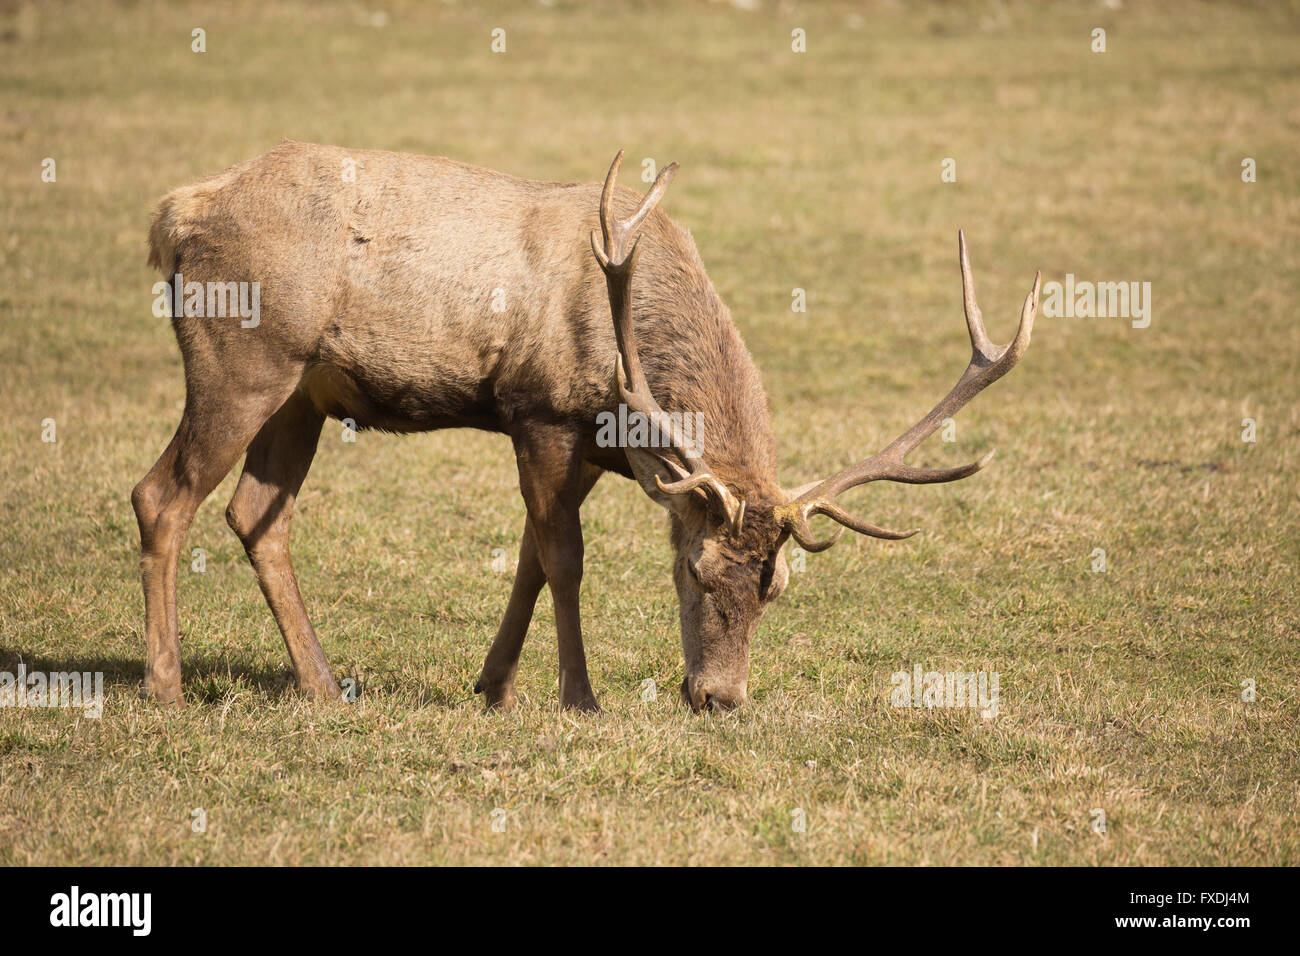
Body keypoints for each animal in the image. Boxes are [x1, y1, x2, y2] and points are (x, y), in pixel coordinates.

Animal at [135, 141, 1038, 713]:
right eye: (695, 572)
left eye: (777, 587)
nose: (720, 699)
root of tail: (174, 215)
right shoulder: (539, 413)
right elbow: (565, 561)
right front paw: (579, 696)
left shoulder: (593, 450)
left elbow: (531, 557)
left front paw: (493, 687)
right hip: (242, 360)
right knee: (161, 496)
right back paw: (166, 687)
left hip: (302, 392)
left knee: (256, 514)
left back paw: (322, 686)